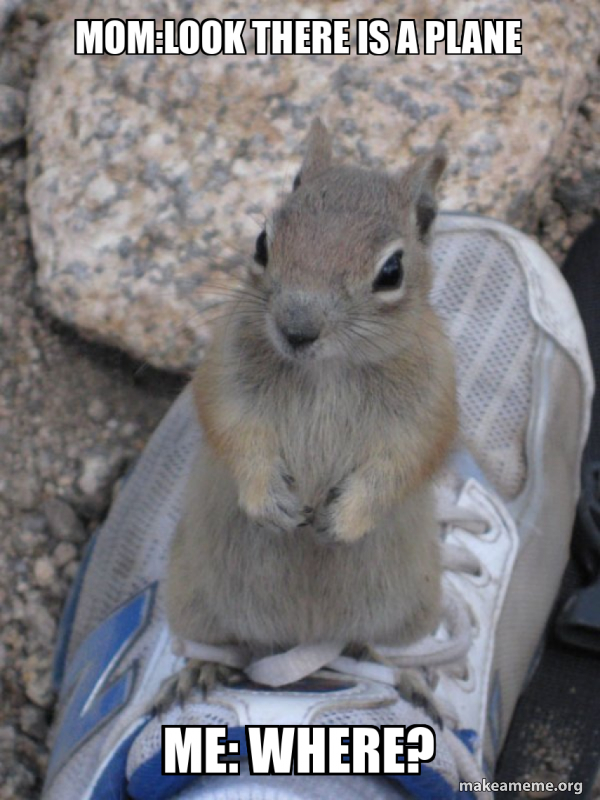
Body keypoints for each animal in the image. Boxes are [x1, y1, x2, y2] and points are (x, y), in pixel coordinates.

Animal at [162, 118, 457, 700]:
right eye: (262, 241)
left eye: (392, 271)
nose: (296, 329)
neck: (327, 370)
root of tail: (306, 634)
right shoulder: (227, 376)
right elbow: (236, 433)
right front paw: (268, 500)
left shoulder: (428, 406)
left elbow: (401, 463)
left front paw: (345, 519)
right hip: (189, 596)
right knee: (227, 644)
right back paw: (202, 670)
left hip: (414, 609)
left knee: (364, 643)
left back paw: (399, 673)